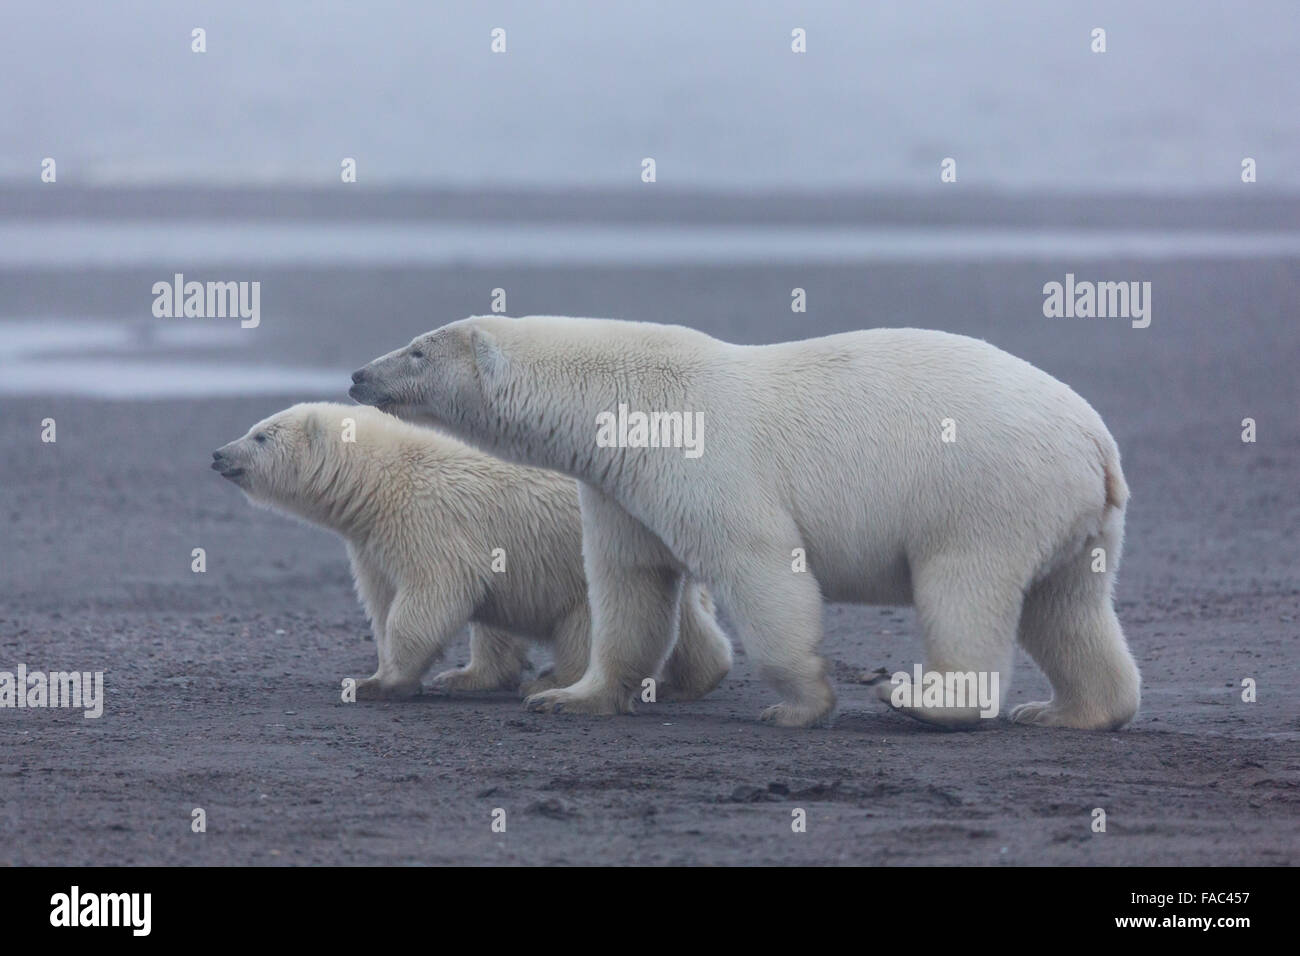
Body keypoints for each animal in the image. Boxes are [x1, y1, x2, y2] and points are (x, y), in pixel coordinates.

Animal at [210, 402, 733, 702]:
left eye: (261, 435)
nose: (218, 454)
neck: (380, 481)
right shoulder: (372, 541)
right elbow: (393, 600)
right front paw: (457, 675)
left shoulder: (429, 521)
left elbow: (430, 597)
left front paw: (380, 682)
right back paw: (694, 677)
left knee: (590, 617)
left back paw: (554, 681)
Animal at [350, 316, 1141, 730]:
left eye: (417, 348)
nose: (359, 375)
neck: (624, 395)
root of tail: (1096, 443)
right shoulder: (619, 485)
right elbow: (630, 582)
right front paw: (568, 695)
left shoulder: (707, 459)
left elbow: (759, 566)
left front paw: (799, 705)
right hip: (1075, 518)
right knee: (1069, 607)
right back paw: (1070, 711)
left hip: (983, 491)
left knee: (965, 589)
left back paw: (921, 699)